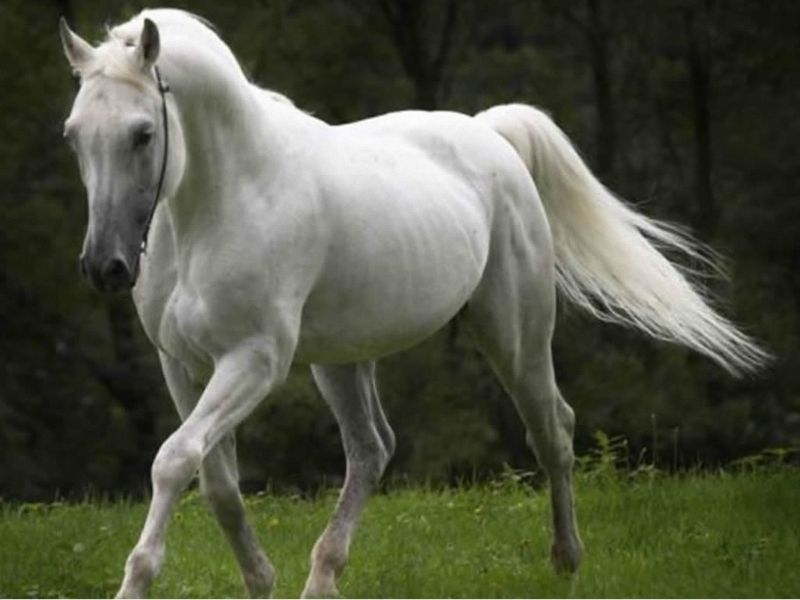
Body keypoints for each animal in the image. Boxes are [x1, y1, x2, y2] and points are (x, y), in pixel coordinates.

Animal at [59, 9, 767, 598]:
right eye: (73, 135)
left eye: (142, 133)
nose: (104, 267)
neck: (225, 198)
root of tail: (489, 134)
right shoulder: (182, 365)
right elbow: (216, 482)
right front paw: (260, 581)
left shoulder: (253, 361)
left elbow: (174, 460)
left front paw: (138, 580)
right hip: (342, 359)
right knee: (372, 449)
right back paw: (322, 580)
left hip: (513, 335)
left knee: (552, 431)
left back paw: (566, 563)